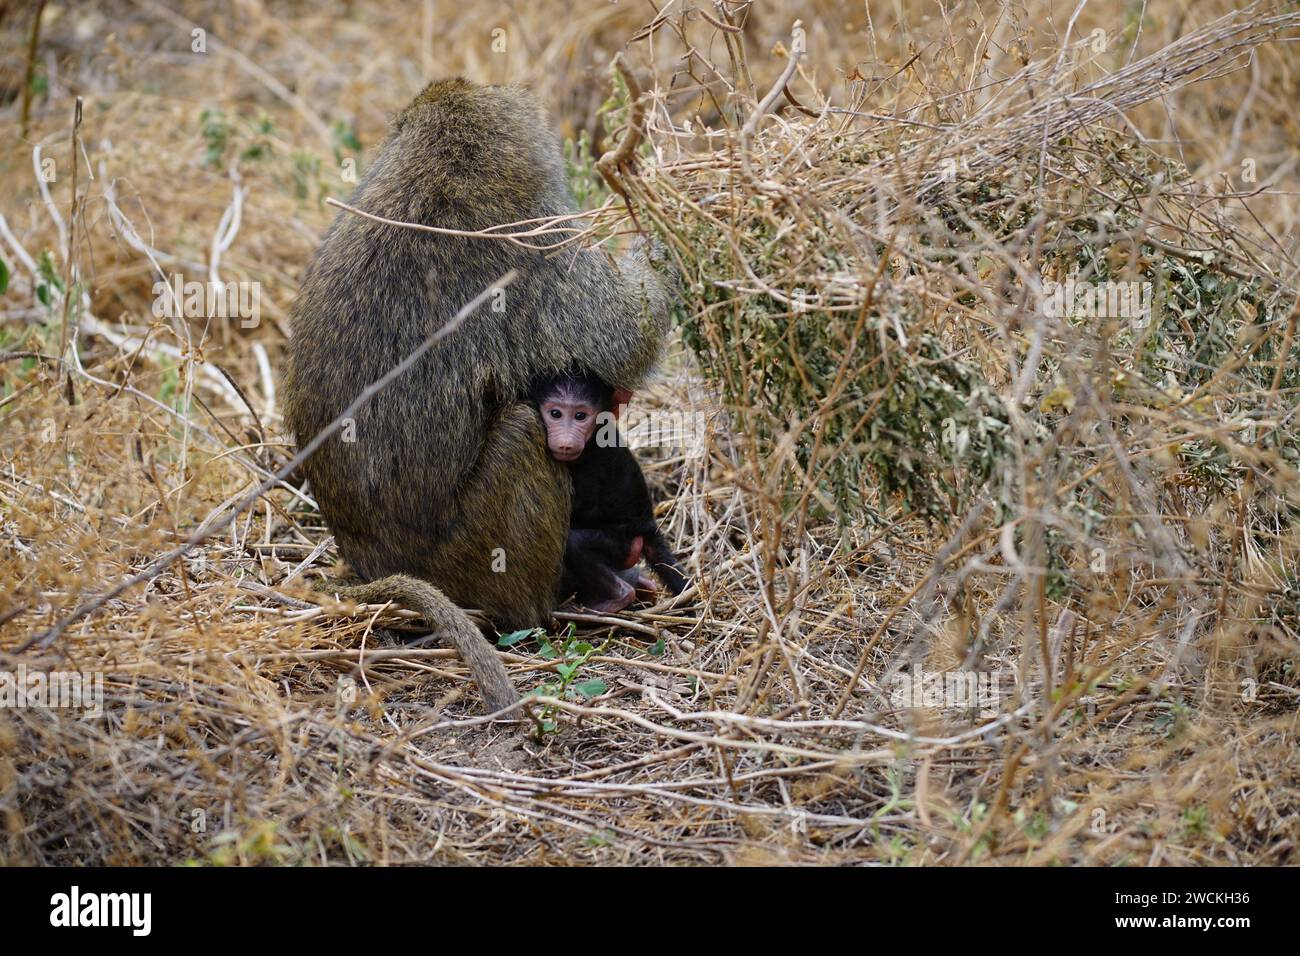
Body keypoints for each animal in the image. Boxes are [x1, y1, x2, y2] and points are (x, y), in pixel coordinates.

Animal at [528, 372, 688, 613]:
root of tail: (647, 526)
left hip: (622, 543)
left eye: (580, 416)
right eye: (555, 413)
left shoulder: (594, 464)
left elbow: (582, 507)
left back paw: (619, 597)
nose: (566, 443)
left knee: (576, 543)